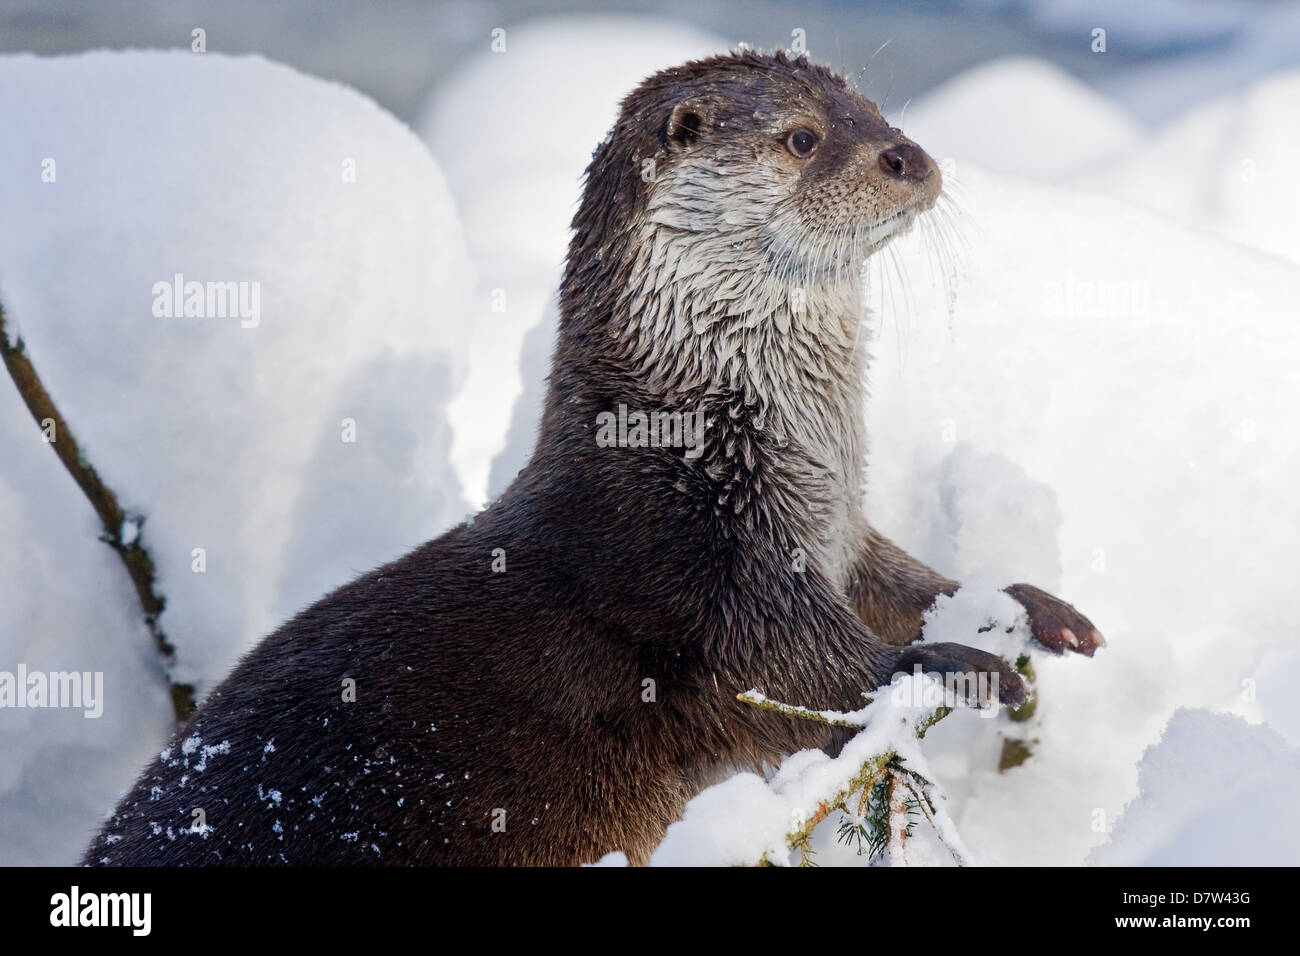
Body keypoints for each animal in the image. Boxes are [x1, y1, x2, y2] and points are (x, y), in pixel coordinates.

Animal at [83, 50, 1100, 867]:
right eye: (804, 138)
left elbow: (899, 581)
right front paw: (956, 665)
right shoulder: (697, 560)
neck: (690, 442)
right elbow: (799, 671)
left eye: (879, 110)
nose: (909, 157)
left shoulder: (831, 529)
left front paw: (1028, 609)